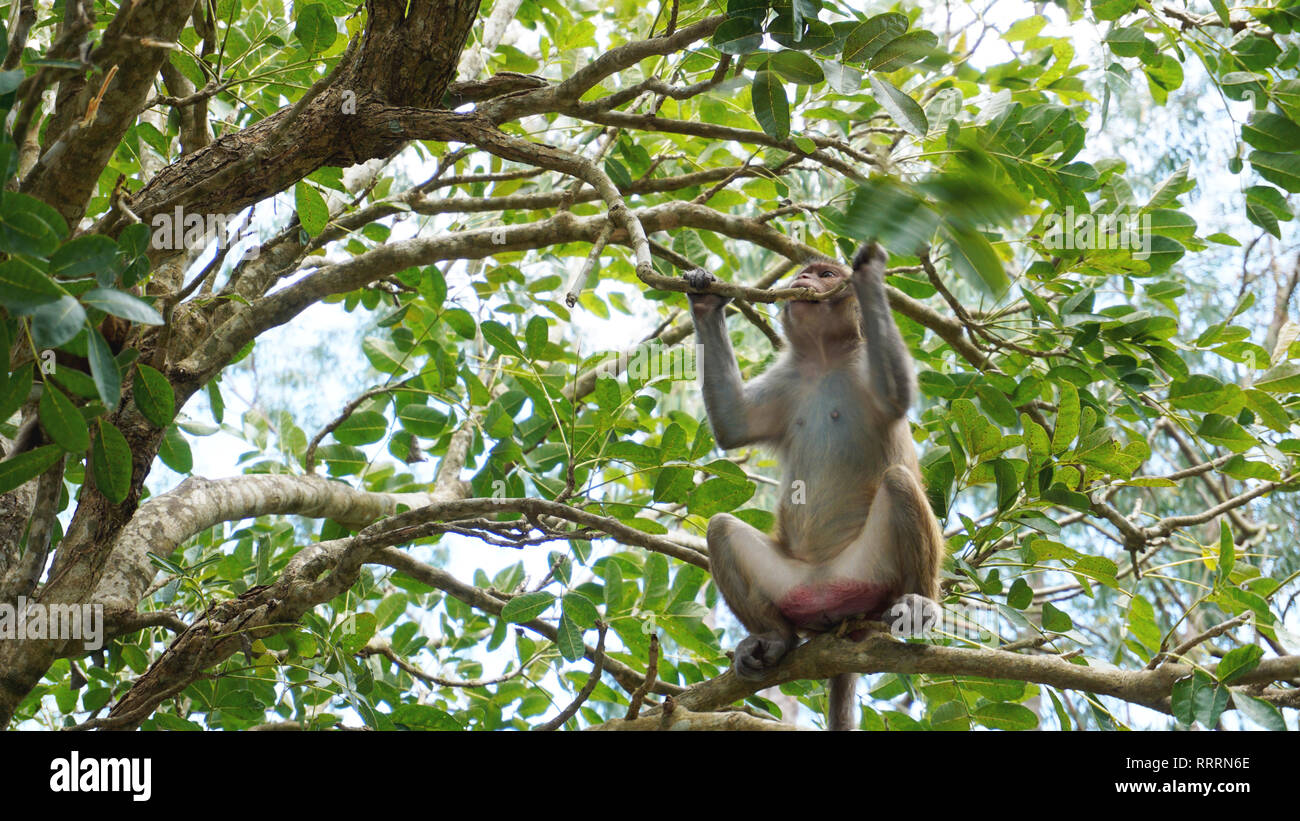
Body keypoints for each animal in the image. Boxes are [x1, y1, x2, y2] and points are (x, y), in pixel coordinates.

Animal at [684, 243, 944, 731]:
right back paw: (774, 638)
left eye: (825, 275)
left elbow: (898, 392)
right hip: (795, 585)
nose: (804, 280)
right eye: (806, 273)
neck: (825, 358)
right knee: (721, 527)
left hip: (872, 574)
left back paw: (919, 603)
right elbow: (734, 425)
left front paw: (869, 273)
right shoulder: (787, 380)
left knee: (898, 481)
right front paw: (705, 300)